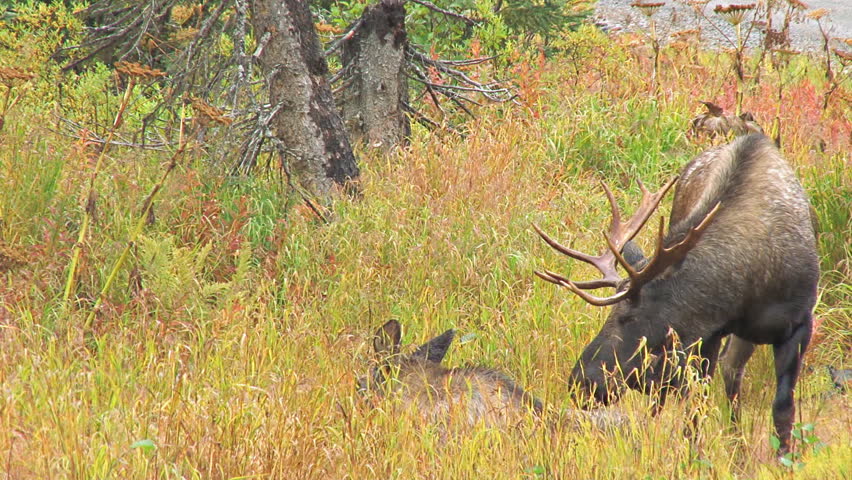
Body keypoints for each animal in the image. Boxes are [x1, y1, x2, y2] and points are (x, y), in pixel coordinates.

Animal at [533, 133, 819, 455]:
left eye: (630, 318)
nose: (582, 383)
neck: (747, 287)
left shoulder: (799, 323)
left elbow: (783, 409)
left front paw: (785, 456)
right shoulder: (707, 335)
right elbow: (696, 406)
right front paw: (693, 456)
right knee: (720, 378)